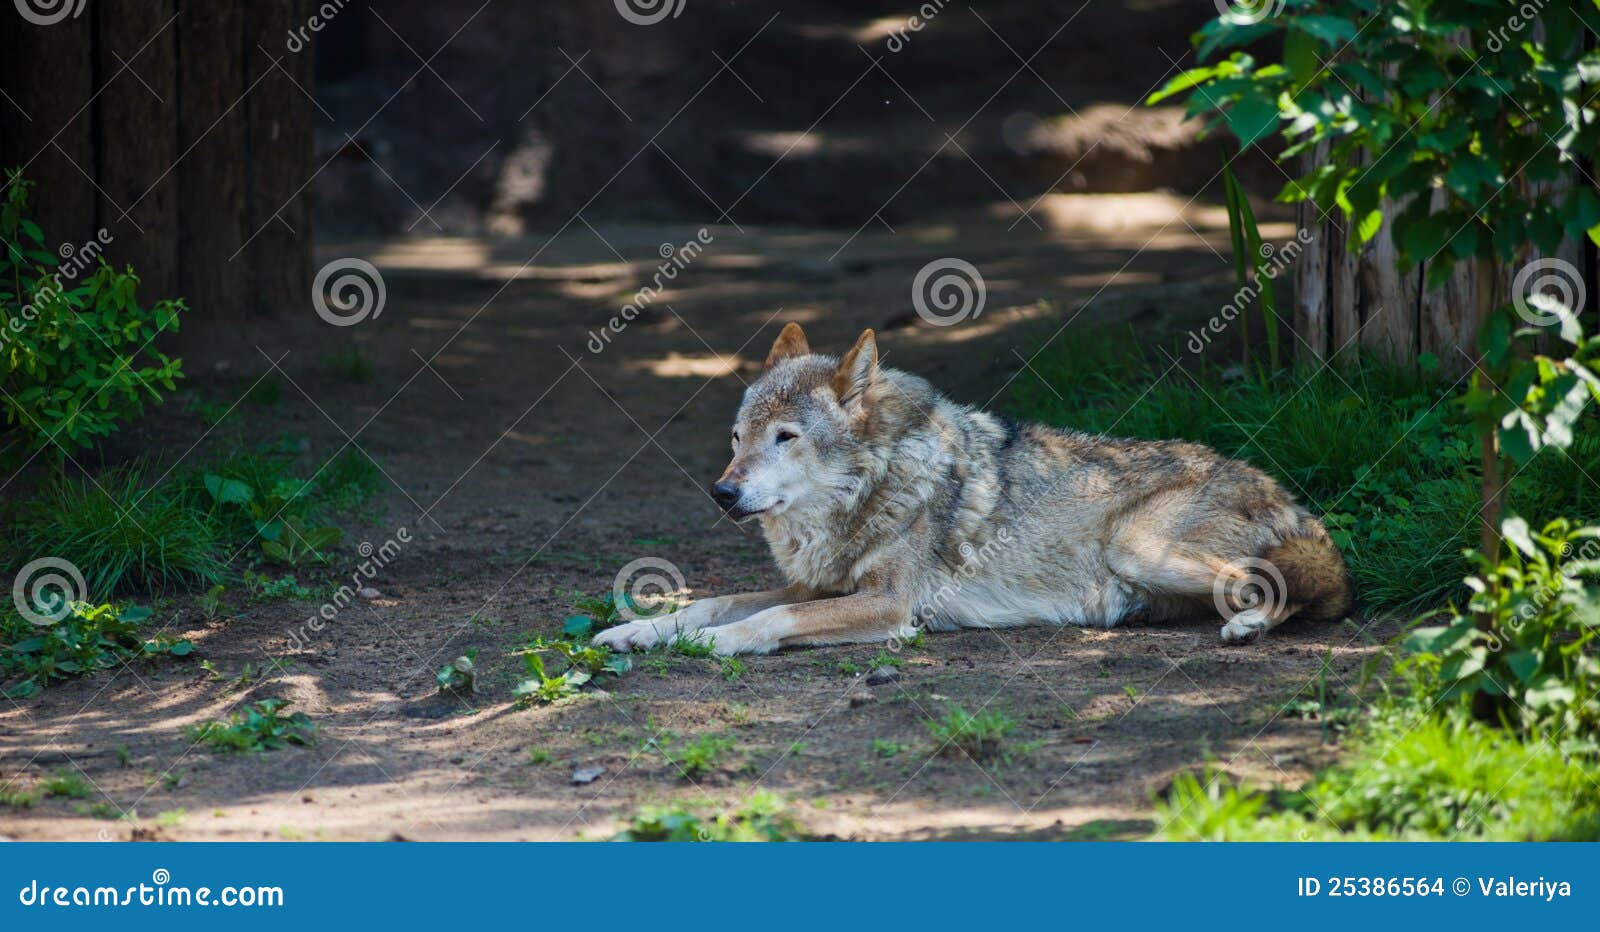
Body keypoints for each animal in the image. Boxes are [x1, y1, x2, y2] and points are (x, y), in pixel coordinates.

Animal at [594, 323, 1352, 656]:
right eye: (736, 438)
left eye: (785, 438)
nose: (722, 493)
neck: (874, 488)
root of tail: (1285, 495)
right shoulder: (818, 587)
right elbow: (712, 600)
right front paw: (636, 630)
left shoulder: (889, 606)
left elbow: (764, 619)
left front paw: (713, 645)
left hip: (1136, 546)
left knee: (1291, 588)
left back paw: (1250, 626)